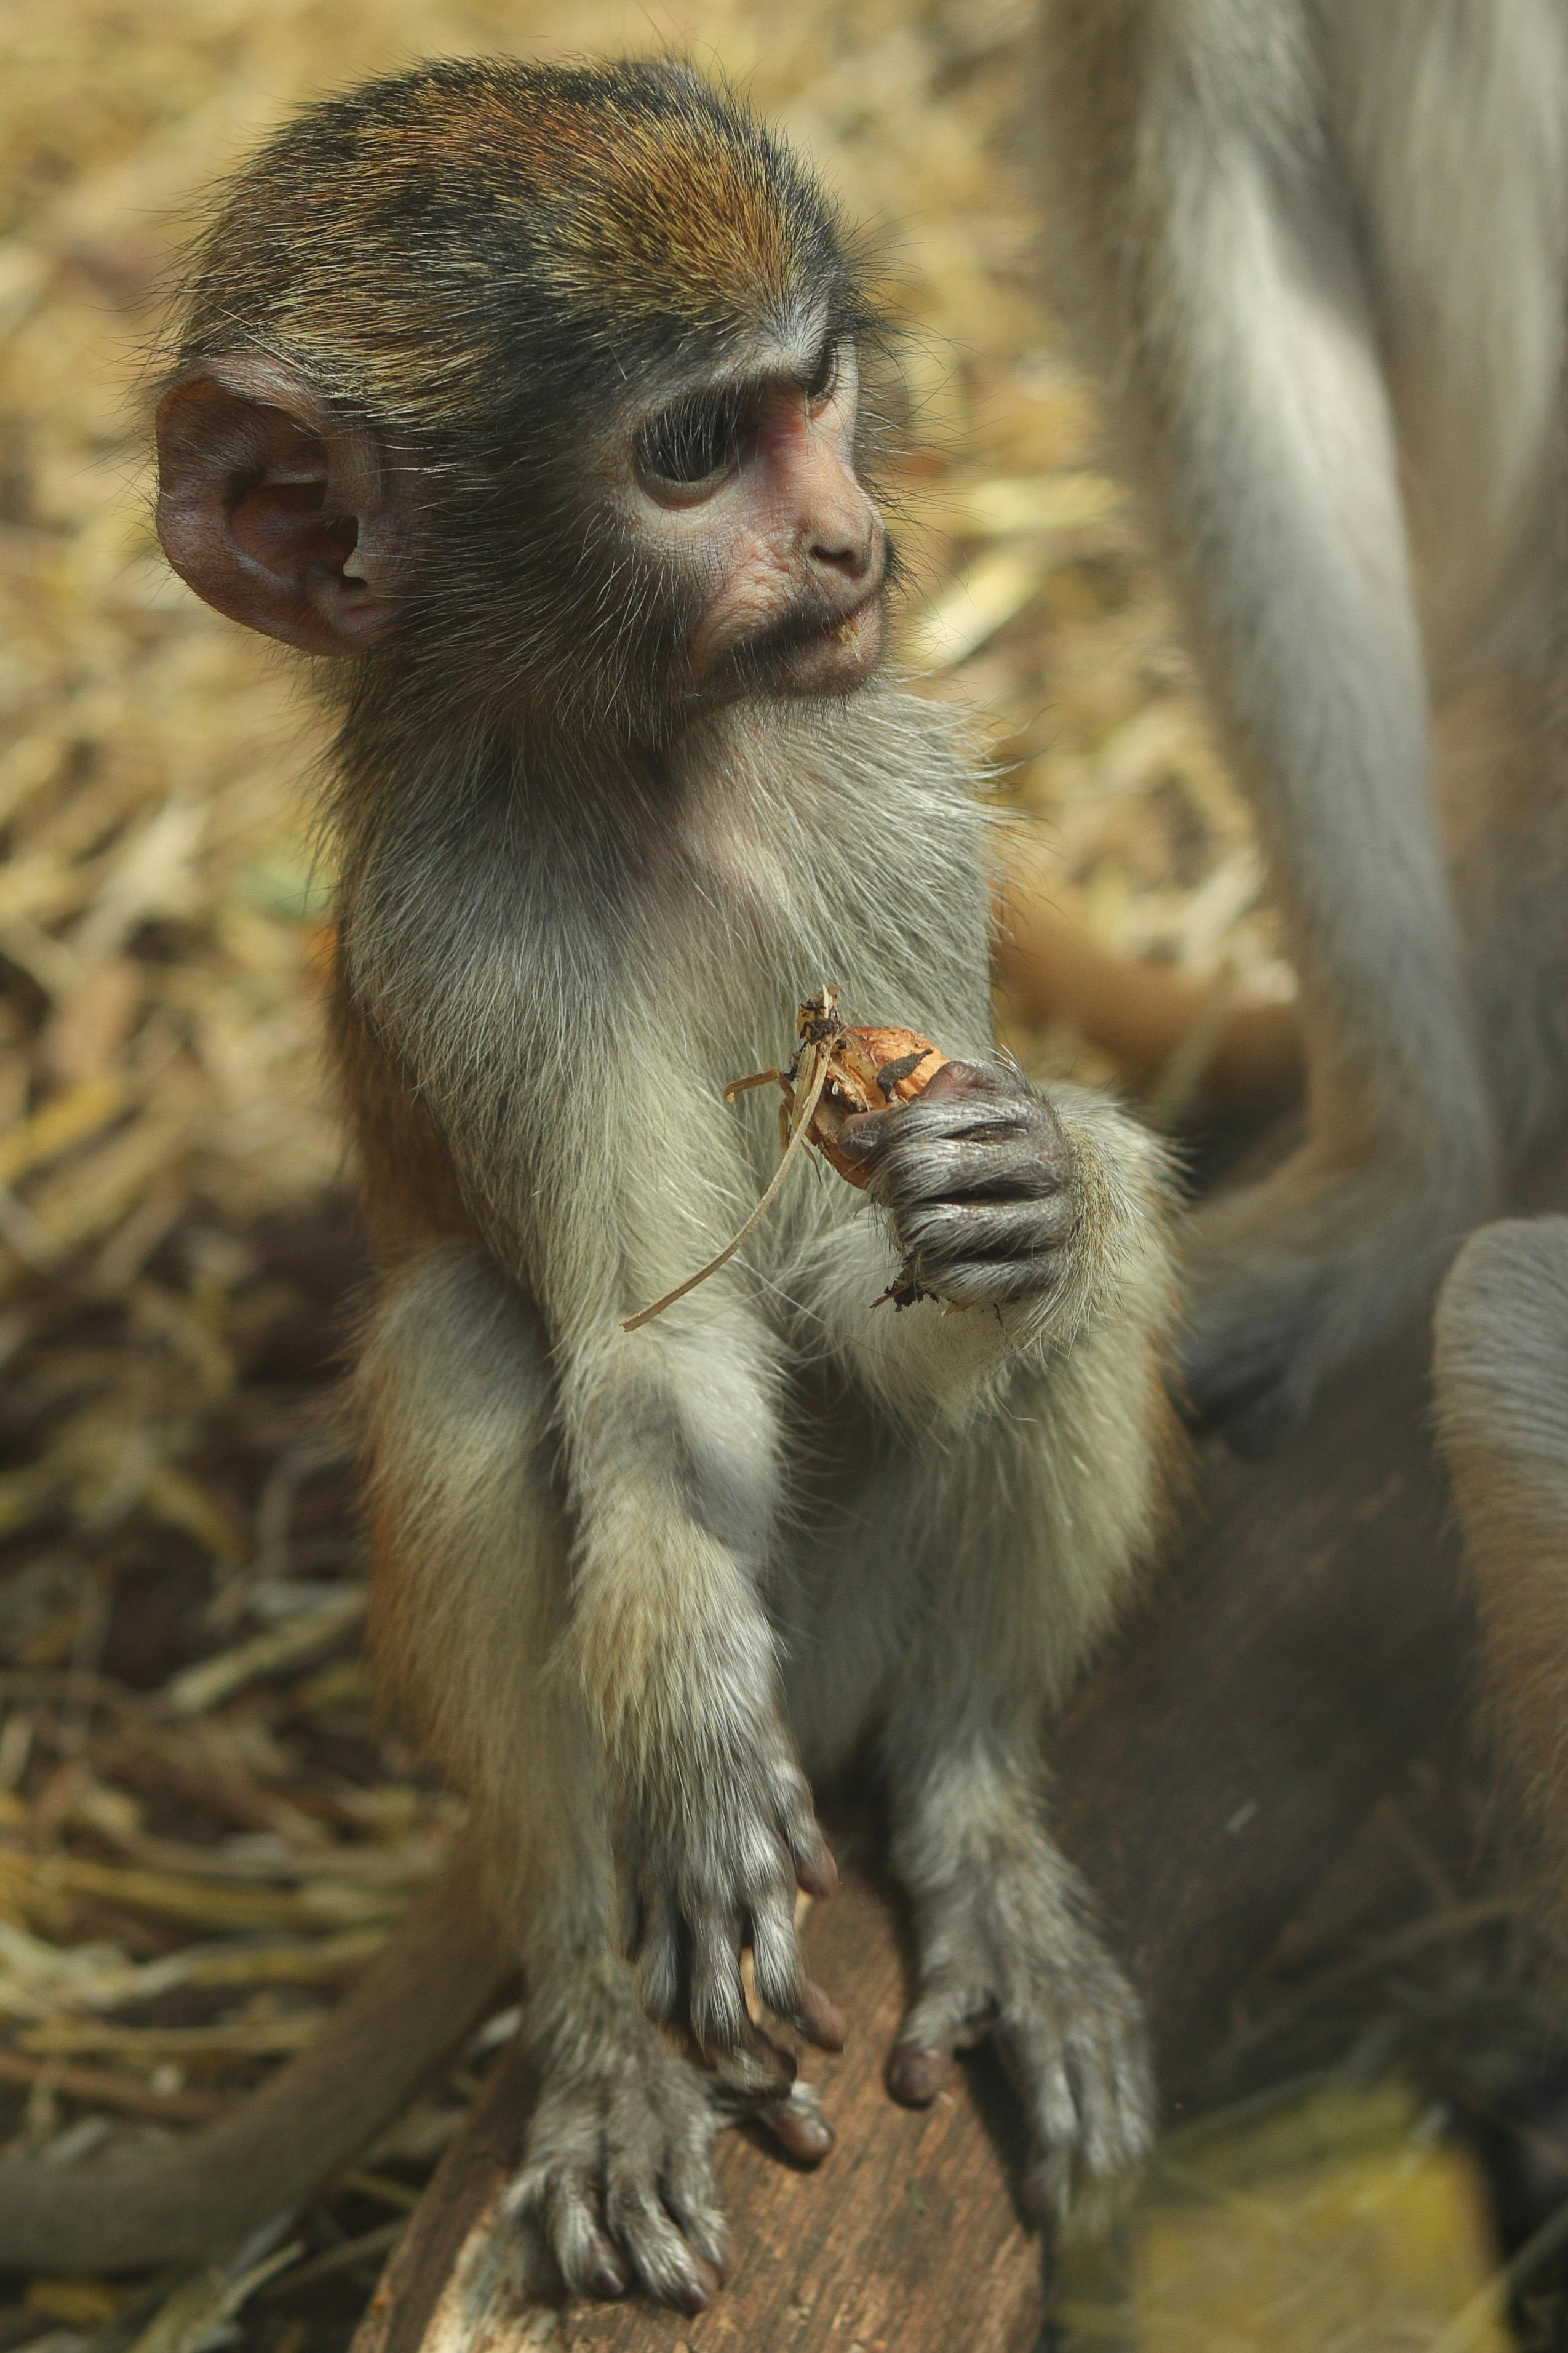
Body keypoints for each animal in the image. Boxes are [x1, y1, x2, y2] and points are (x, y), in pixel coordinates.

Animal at [127, 59, 1182, 2310]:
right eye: (696, 452)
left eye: (817, 389)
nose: (849, 538)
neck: (645, 756)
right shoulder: (467, 923)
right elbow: (642, 1355)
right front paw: (694, 1752)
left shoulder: (882, 785)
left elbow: (953, 1285)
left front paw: (1017, 1193)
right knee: (456, 1343)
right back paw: (594, 2012)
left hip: (855, 1643)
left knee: (1131, 1208)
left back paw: (971, 1813)